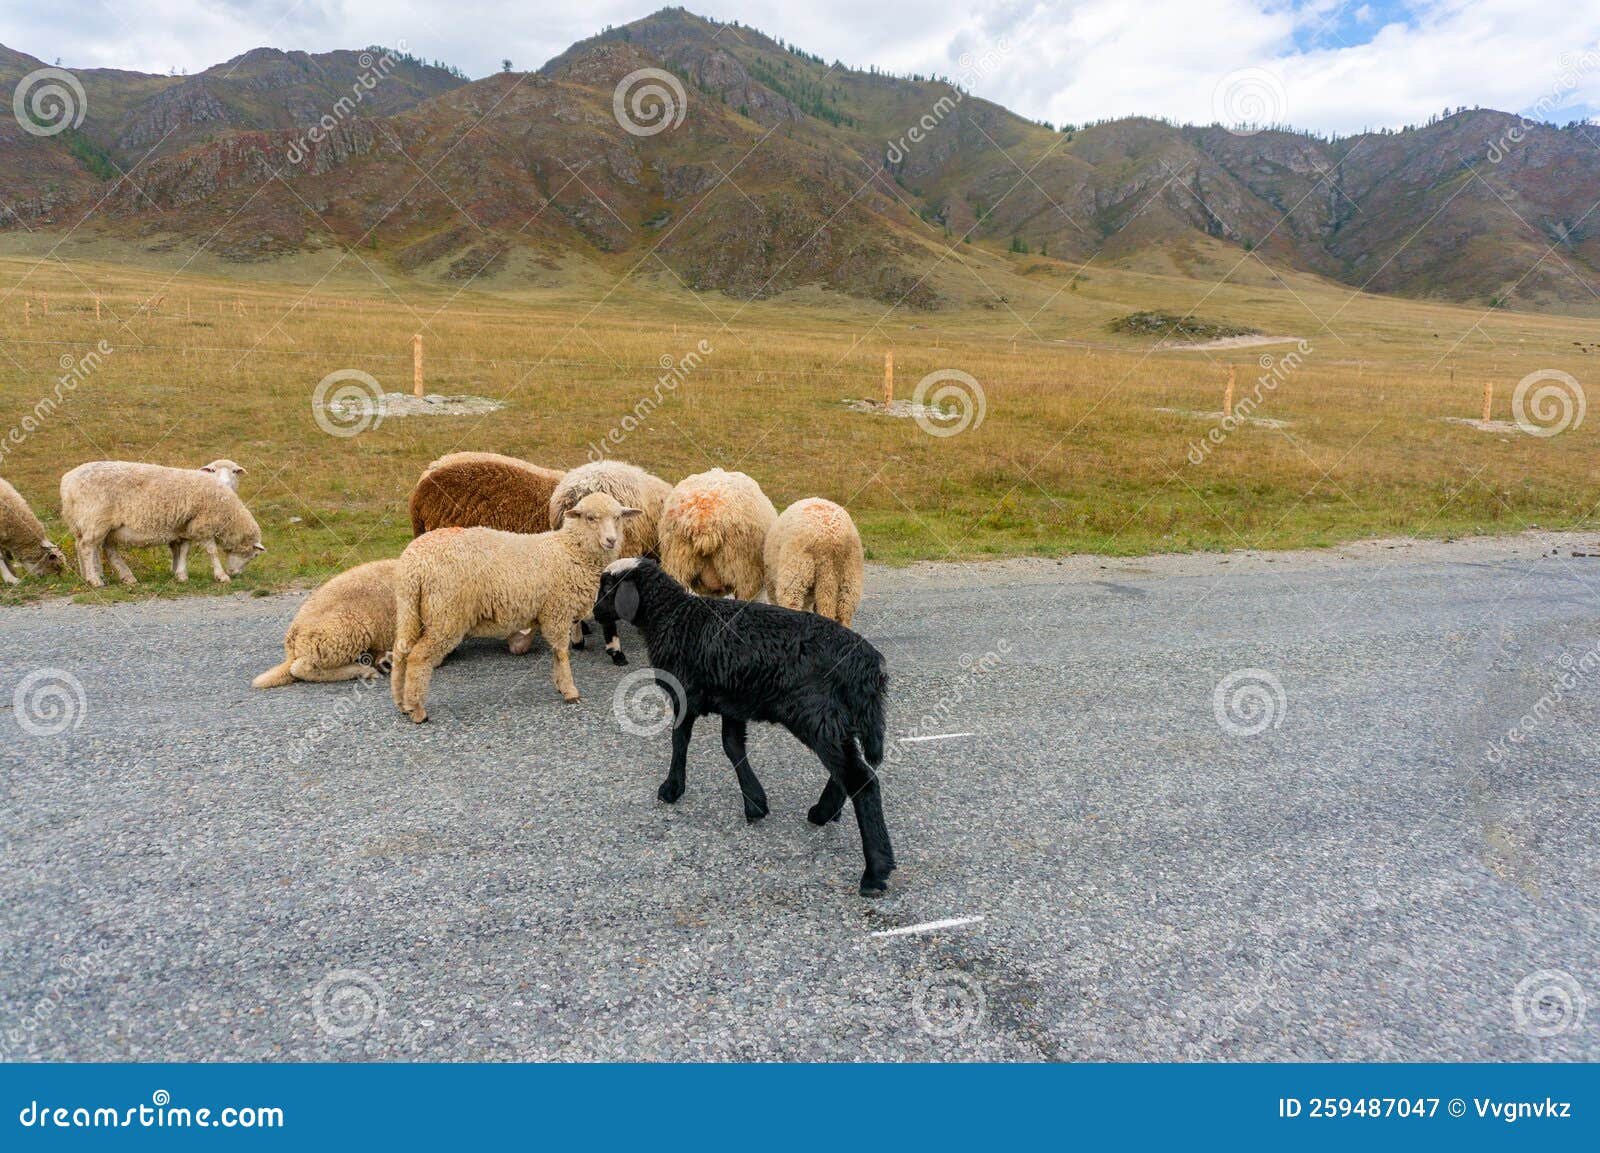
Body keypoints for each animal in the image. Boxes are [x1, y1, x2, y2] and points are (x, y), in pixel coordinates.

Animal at [59, 460, 265, 587]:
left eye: (234, 472)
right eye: (254, 555)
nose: (235, 573)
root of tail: (67, 482)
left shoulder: (185, 526)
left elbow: (183, 550)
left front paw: (180, 574)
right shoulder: (203, 524)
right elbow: (211, 551)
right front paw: (222, 575)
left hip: (86, 523)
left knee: (88, 546)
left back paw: (98, 576)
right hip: (95, 519)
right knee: (87, 547)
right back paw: (95, 580)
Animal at [390, 491, 640, 722]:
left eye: (618, 517)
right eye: (590, 518)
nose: (611, 540)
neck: (570, 549)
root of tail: (413, 564)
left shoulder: (552, 612)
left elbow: (555, 653)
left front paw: (560, 684)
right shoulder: (557, 610)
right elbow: (561, 652)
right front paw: (570, 690)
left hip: (411, 611)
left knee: (401, 652)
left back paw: (402, 703)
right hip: (446, 615)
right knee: (418, 657)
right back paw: (417, 710)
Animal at [594, 557, 895, 896]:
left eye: (607, 587)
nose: (594, 612)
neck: (673, 617)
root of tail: (868, 665)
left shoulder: (686, 695)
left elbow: (680, 742)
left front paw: (671, 789)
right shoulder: (732, 701)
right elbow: (732, 746)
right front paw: (755, 803)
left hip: (816, 715)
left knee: (862, 781)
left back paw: (874, 872)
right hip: (836, 719)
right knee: (851, 770)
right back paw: (823, 812)